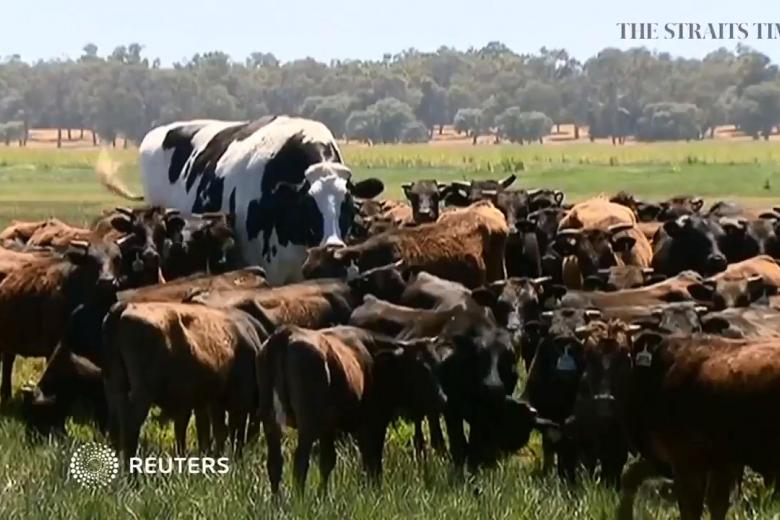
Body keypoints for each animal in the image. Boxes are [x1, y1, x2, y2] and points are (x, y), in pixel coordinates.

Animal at [102, 302, 269, 462]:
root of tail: (126, 306)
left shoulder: (208, 403)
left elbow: (215, 431)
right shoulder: (238, 401)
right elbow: (235, 434)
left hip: (116, 388)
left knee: (116, 427)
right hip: (142, 394)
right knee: (130, 425)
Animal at [256, 325, 446, 494]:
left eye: (437, 365)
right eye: (419, 368)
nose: (441, 399)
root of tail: (287, 332)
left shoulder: (329, 428)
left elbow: (328, 462)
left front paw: (323, 496)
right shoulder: (372, 423)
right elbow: (373, 462)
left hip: (271, 422)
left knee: (275, 465)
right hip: (307, 424)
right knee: (300, 464)